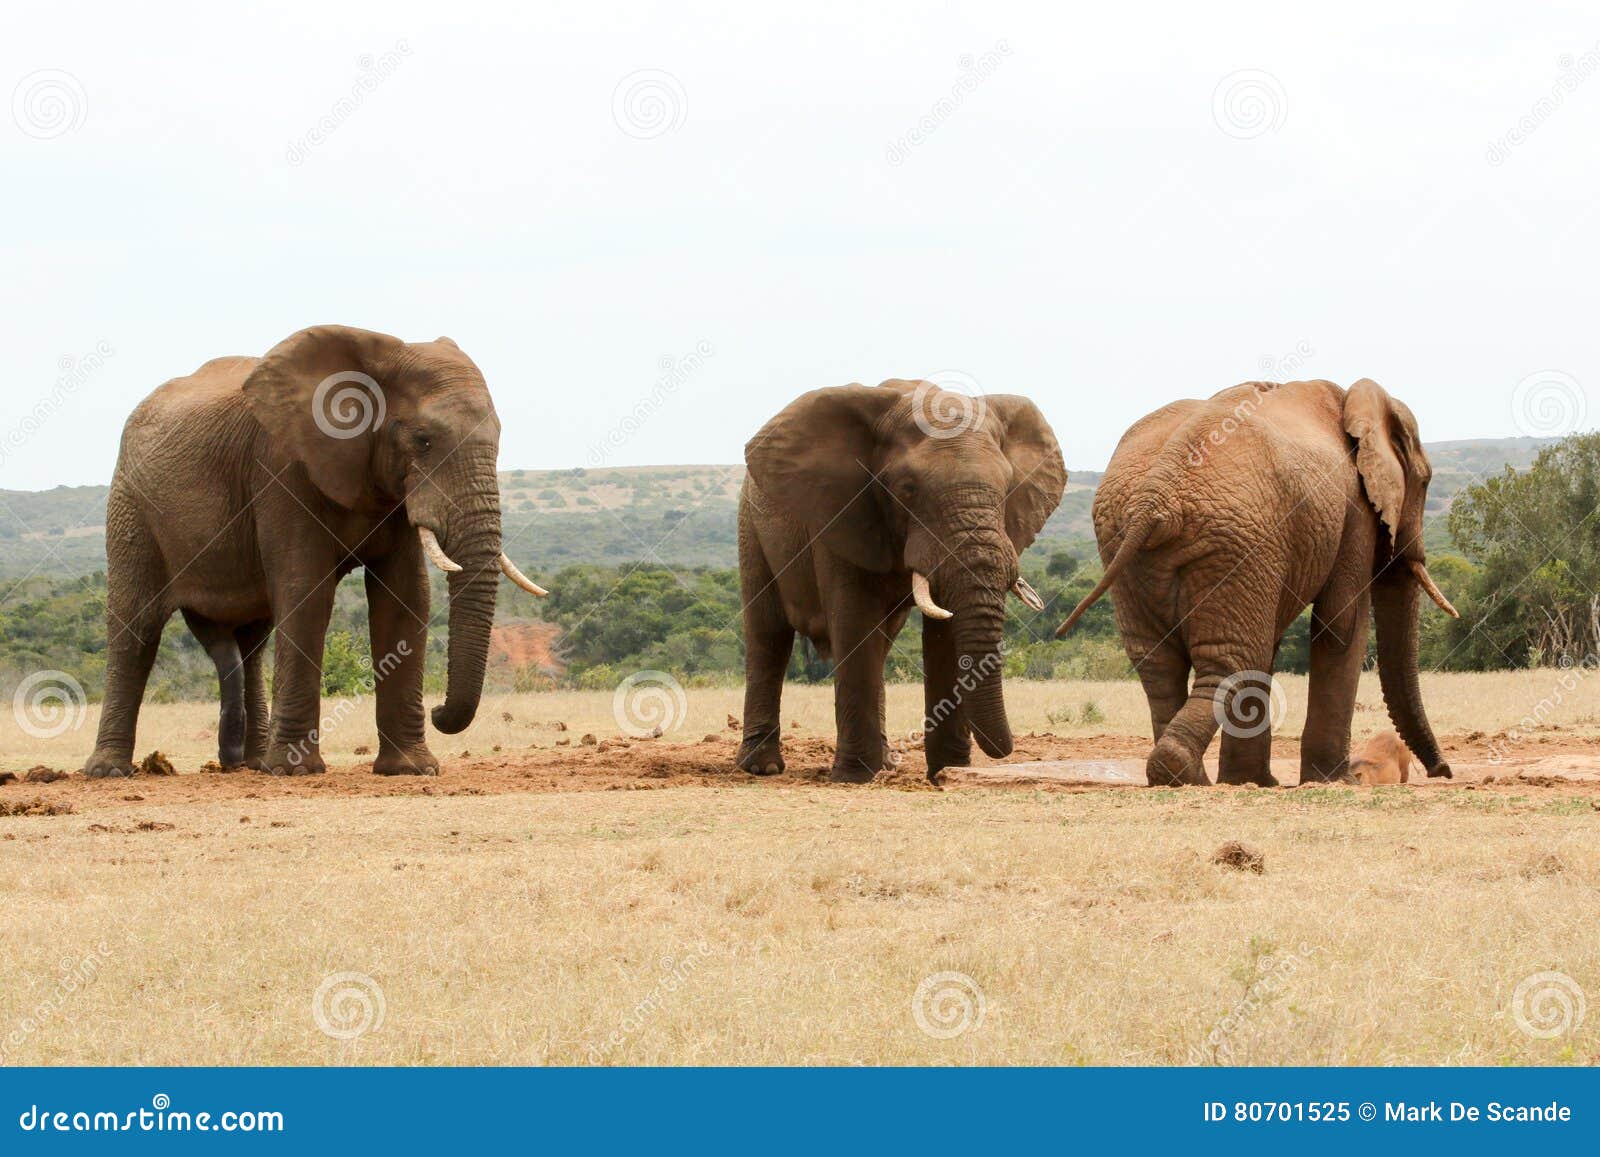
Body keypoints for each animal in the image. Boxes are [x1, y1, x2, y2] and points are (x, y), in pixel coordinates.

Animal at [83, 324, 547, 778]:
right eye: (423, 441)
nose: (438, 711)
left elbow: (406, 596)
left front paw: (411, 769)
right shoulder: (282, 467)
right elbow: (306, 591)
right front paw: (295, 770)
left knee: (252, 641)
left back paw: (251, 764)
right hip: (130, 504)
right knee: (136, 628)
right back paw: (109, 771)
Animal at [736, 379, 1065, 783]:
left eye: (1007, 488)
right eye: (908, 489)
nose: (1007, 749)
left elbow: (944, 636)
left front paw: (947, 773)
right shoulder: (841, 513)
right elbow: (855, 622)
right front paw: (853, 778)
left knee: (882, 642)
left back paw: (887, 763)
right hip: (751, 525)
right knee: (768, 635)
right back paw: (761, 767)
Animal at [1055, 377, 1458, 787]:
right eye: (1425, 481)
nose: (1442, 772)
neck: (1354, 403)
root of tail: (1157, 494)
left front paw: (1255, 781)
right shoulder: (1355, 510)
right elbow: (1341, 624)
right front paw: (1334, 780)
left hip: (1133, 546)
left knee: (1161, 663)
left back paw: (1187, 776)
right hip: (1234, 540)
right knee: (1232, 659)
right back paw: (1186, 772)